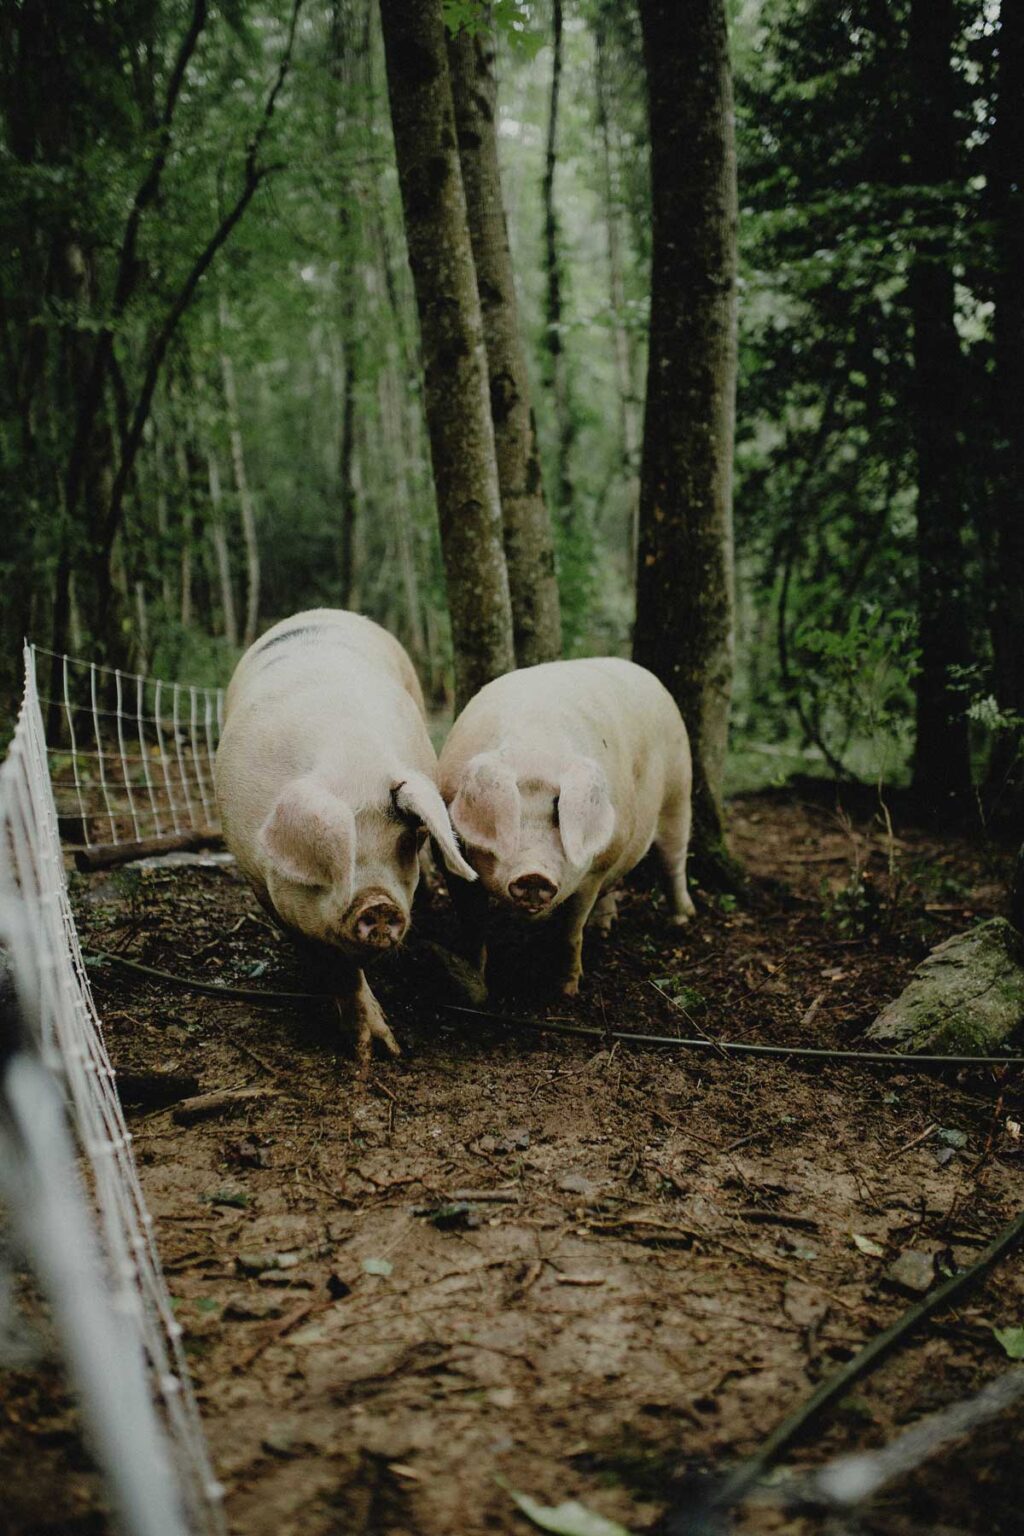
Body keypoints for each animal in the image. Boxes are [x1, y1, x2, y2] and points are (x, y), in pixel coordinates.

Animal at [215, 609, 475, 1060]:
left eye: (406, 841)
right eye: (334, 858)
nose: (379, 903)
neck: (353, 769)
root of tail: (322, 611)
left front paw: (390, 1051)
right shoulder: (258, 880)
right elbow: (335, 964)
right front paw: (367, 1050)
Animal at [438, 658, 695, 996]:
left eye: (558, 815)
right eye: (514, 815)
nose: (534, 875)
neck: (534, 751)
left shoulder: (591, 873)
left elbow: (570, 933)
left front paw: (567, 992)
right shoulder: (451, 865)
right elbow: (472, 928)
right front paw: (475, 984)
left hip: (679, 790)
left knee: (674, 860)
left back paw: (683, 920)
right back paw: (605, 928)